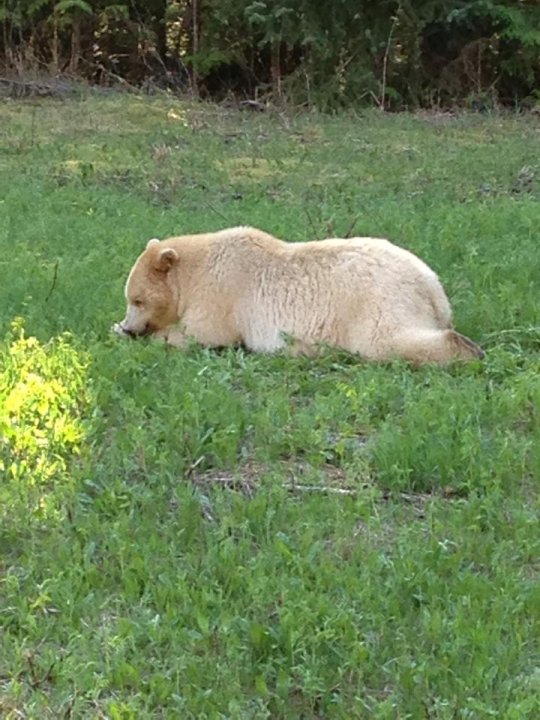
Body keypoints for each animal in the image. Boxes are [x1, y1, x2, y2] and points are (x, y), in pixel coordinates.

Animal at [113, 226, 484, 364]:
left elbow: (202, 333)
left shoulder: (221, 292)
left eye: (138, 299)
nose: (130, 326)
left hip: (377, 302)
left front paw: (145, 336)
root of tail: (432, 285)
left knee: (387, 341)